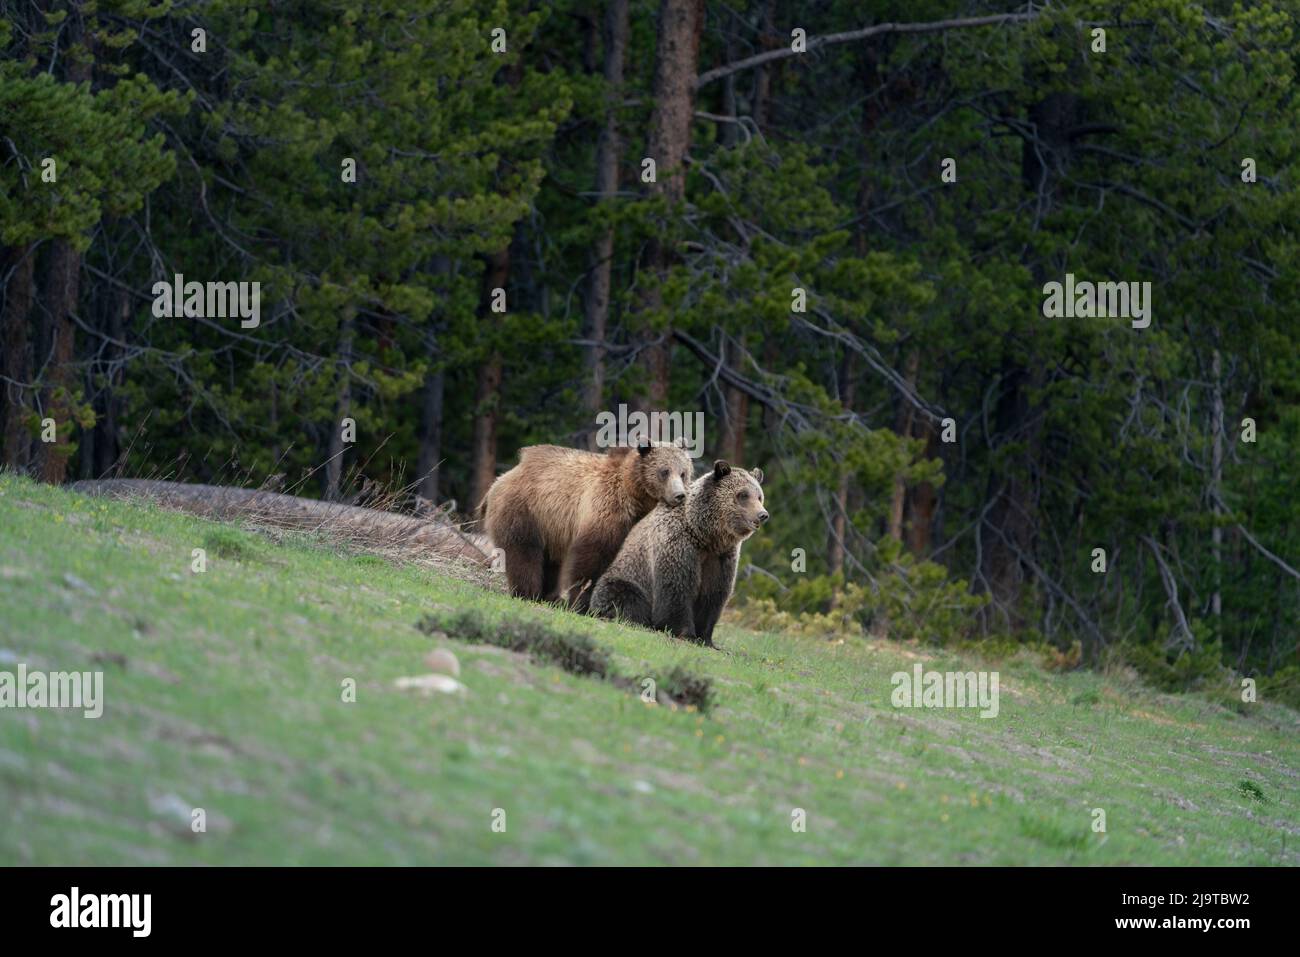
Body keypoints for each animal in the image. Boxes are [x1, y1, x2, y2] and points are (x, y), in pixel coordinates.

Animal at [480, 437, 693, 610]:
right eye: (664, 471)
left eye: (683, 472)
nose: (679, 495)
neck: (633, 495)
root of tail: (503, 477)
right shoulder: (605, 509)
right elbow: (591, 556)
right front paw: (582, 601)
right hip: (525, 510)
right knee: (524, 552)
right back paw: (528, 593)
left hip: (551, 526)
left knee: (551, 562)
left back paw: (550, 597)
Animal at [589, 460, 767, 646]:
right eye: (743, 494)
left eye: (759, 496)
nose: (762, 514)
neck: (705, 535)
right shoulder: (678, 543)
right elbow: (677, 588)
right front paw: (685, 633)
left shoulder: (721, 557)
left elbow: (713, 595)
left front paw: (706, 639)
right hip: (628, 578)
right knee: (623, 597)